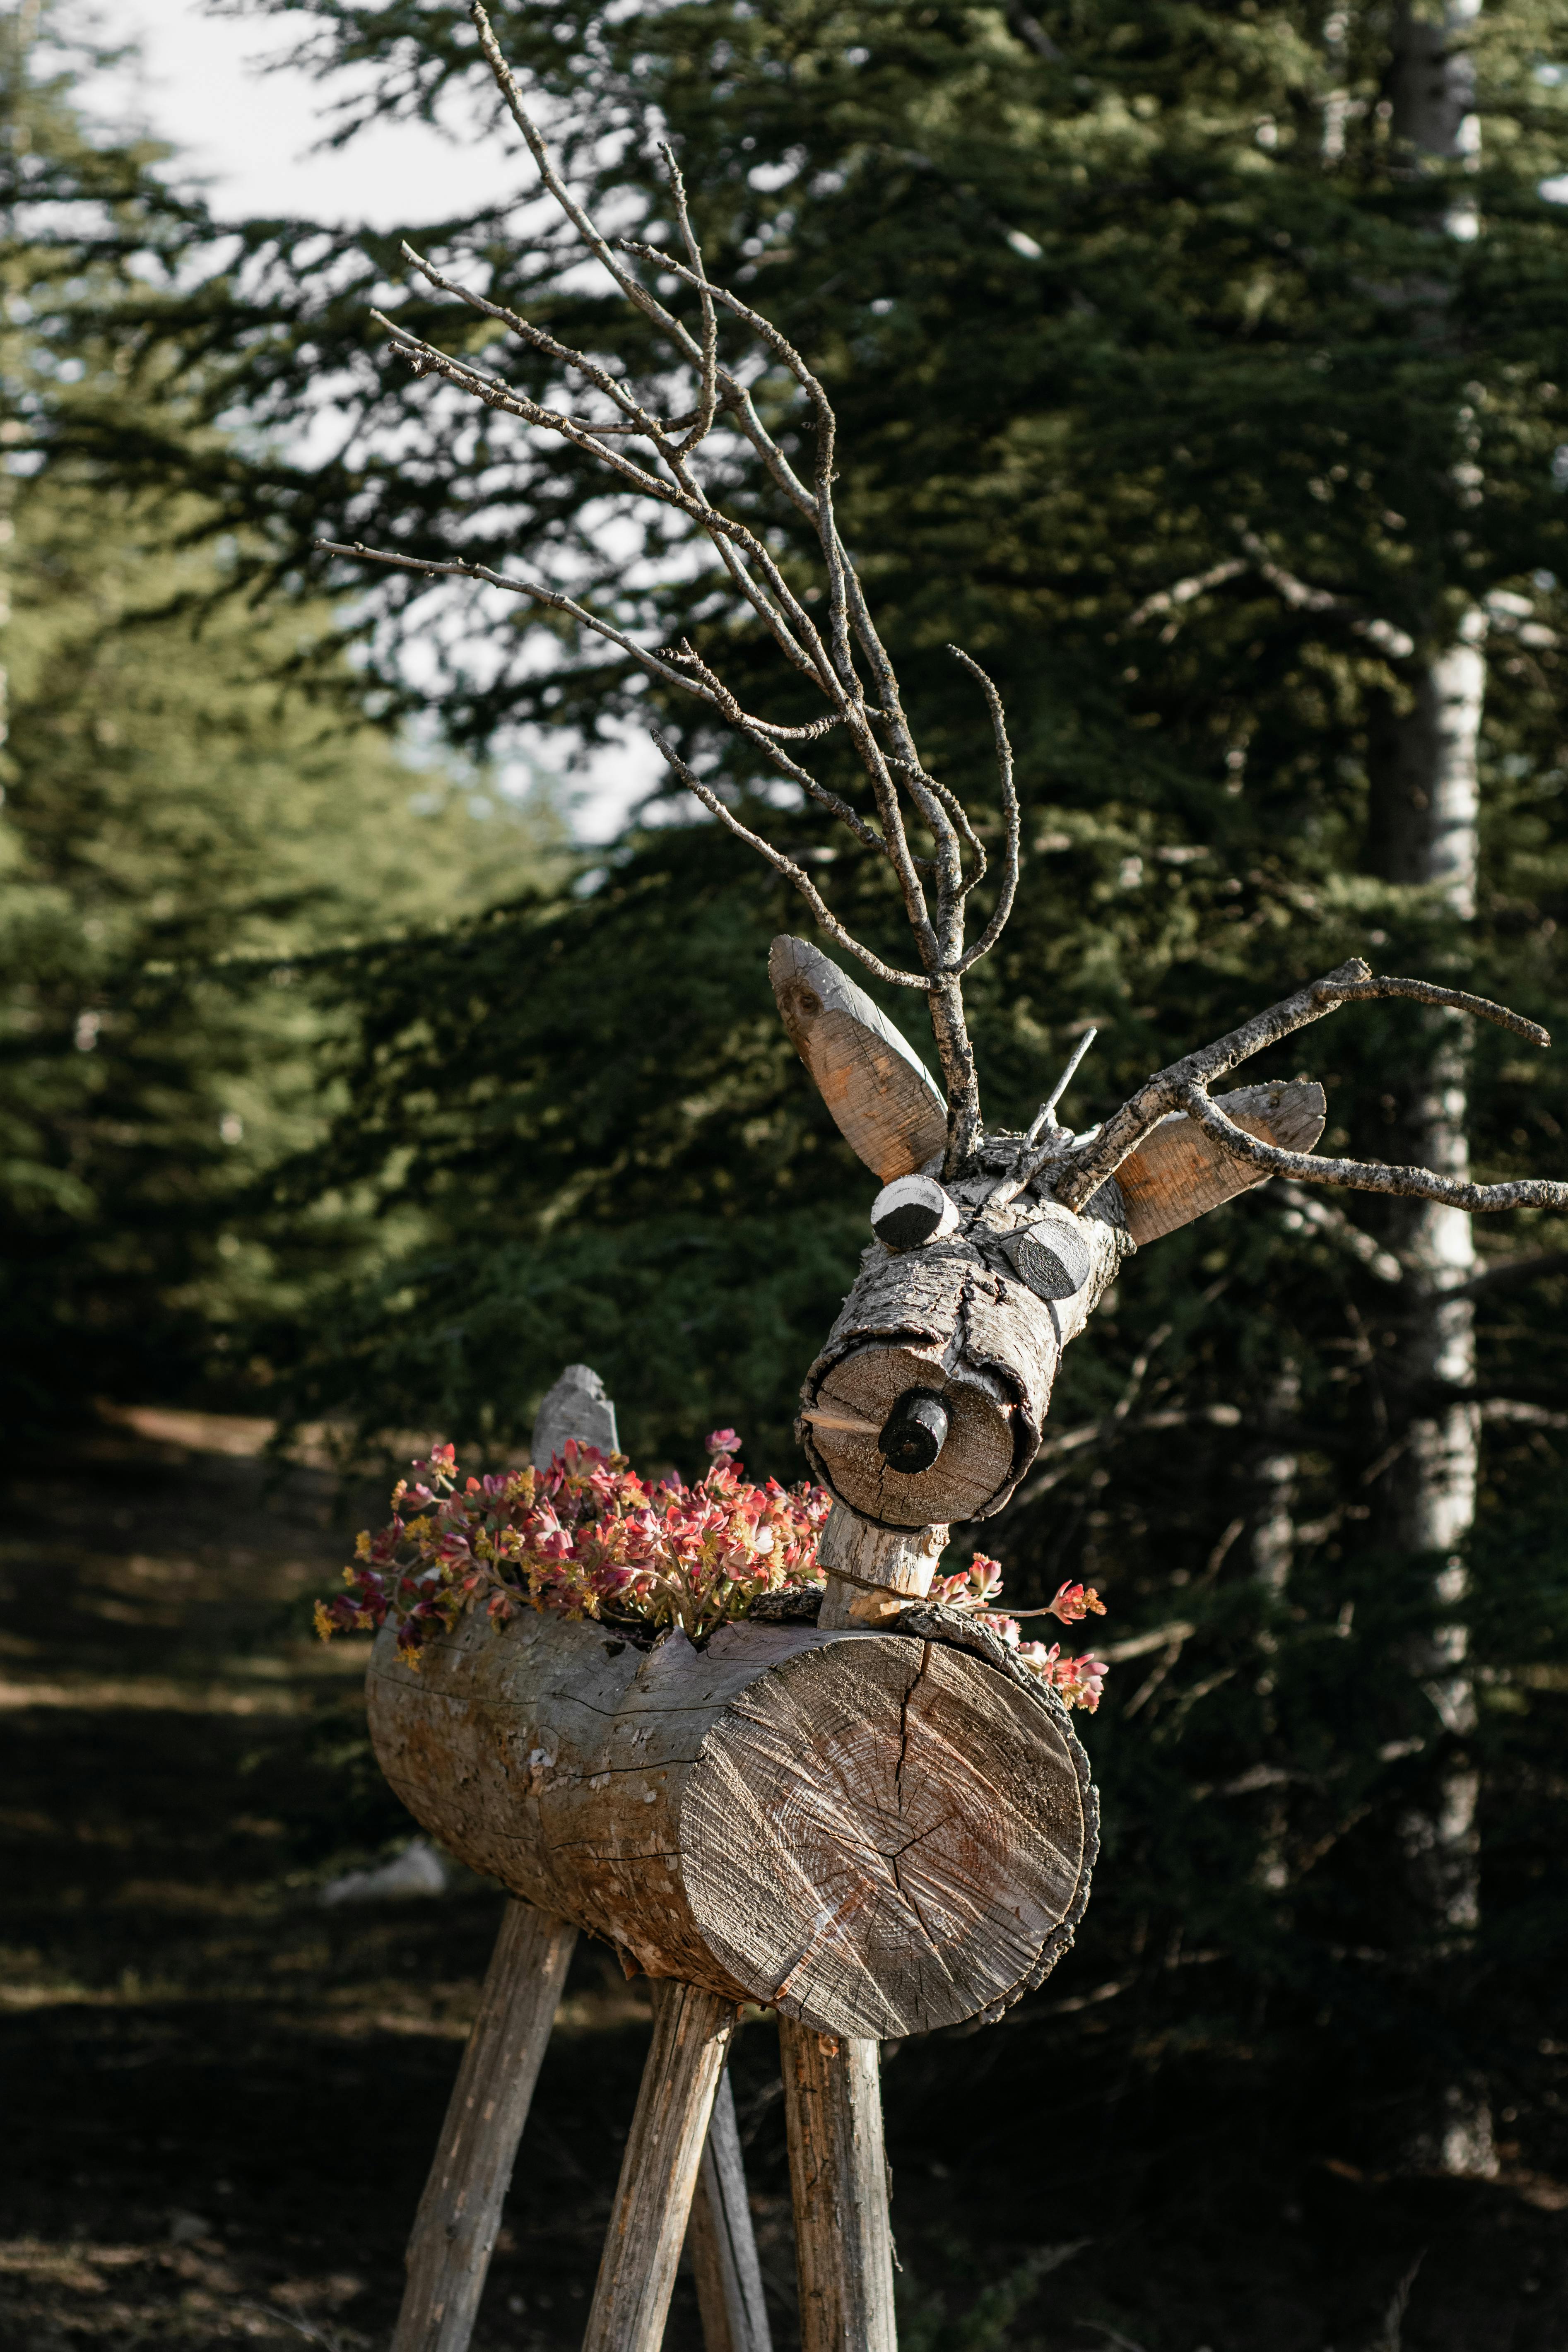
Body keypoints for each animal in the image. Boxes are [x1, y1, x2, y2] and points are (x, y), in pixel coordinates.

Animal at [318, 12, 1568, 2349]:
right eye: (900, 1222)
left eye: (1076, 1285)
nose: (920, 1410)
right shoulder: (697, 1921)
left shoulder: (802, 1984)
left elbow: (833, 2212)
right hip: (535, 1875)